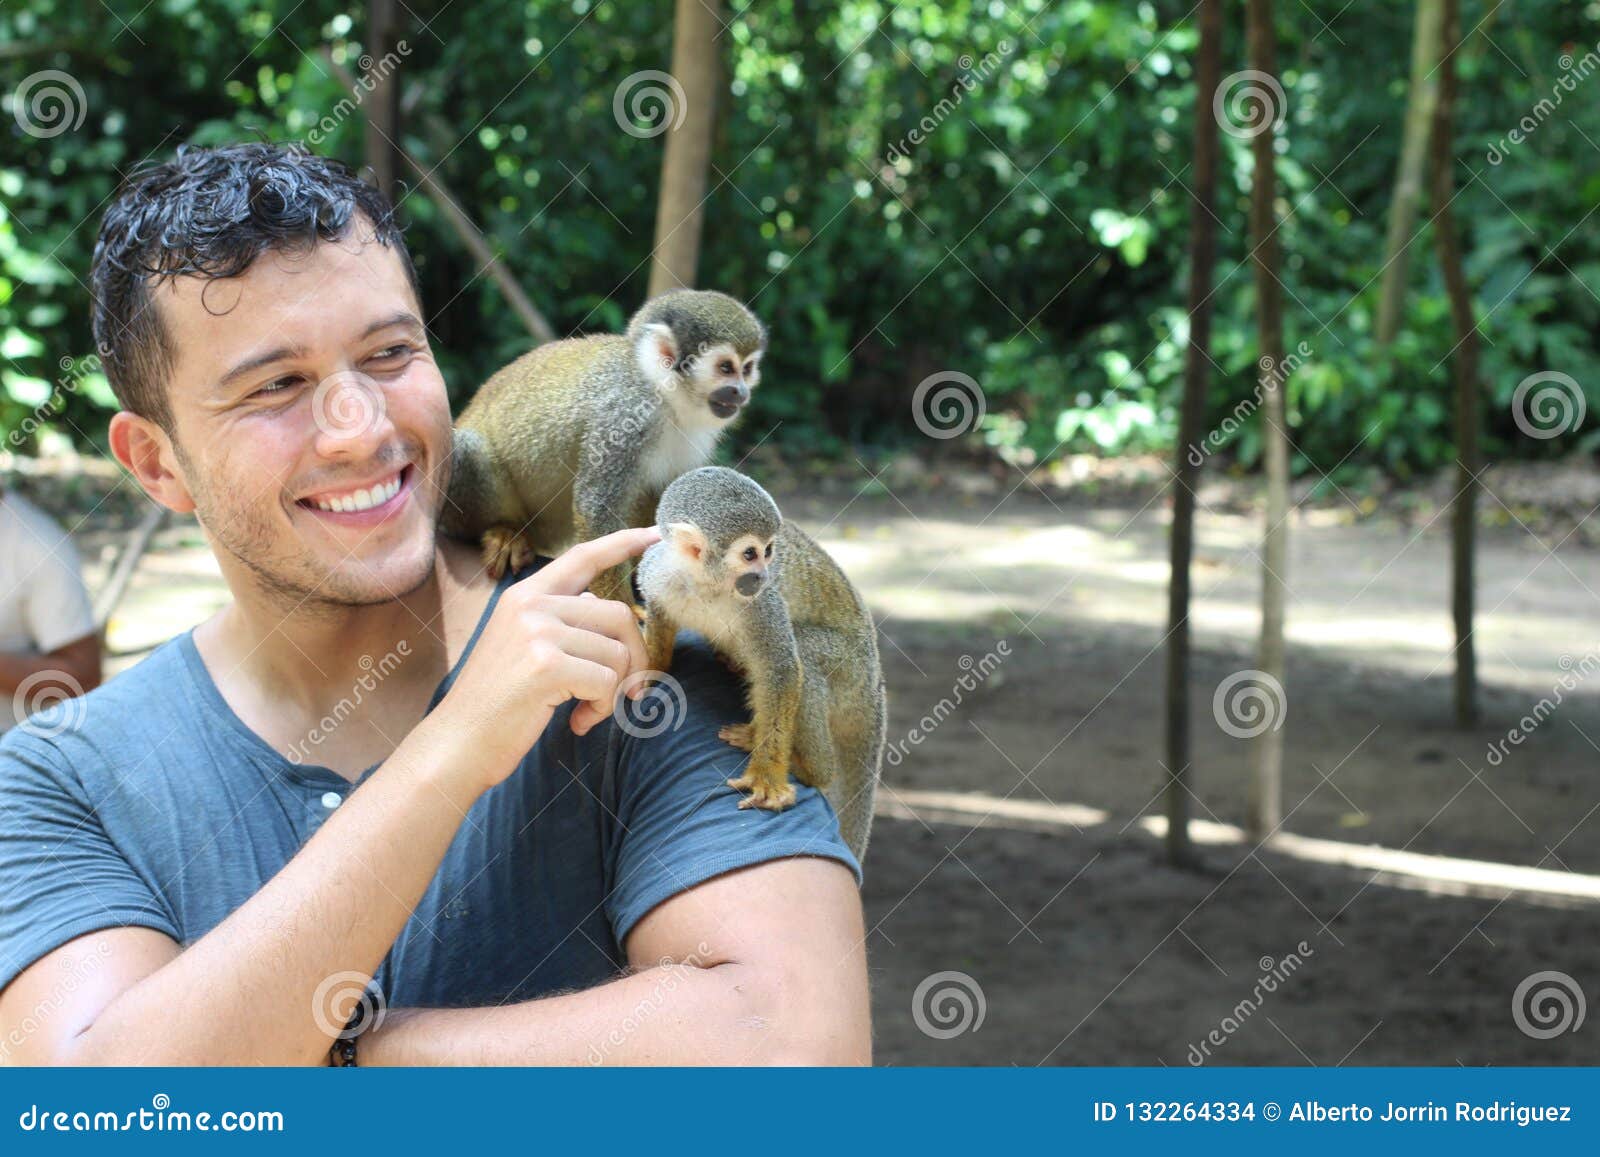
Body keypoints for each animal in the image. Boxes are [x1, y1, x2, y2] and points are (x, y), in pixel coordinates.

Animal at [443, 290, 767, 602]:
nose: (741, 392)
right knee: (467, 449)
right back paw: (502, 531)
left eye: (747, 368)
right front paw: (623, 605)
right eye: (725, 368)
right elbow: (596, 510)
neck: (664, 395)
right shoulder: (626, 413)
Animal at [633, 466, 887, 862]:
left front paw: (766, 778)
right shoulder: (658, 573)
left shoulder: (762, 604)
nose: (766, 576)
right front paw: (650, 669)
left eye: (769, 552)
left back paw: (812, 768)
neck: (706, 586)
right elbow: (660, 616)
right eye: (750, 554)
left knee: (805, 654)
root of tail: (875, 686)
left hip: (853, 671)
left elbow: (780, 668)